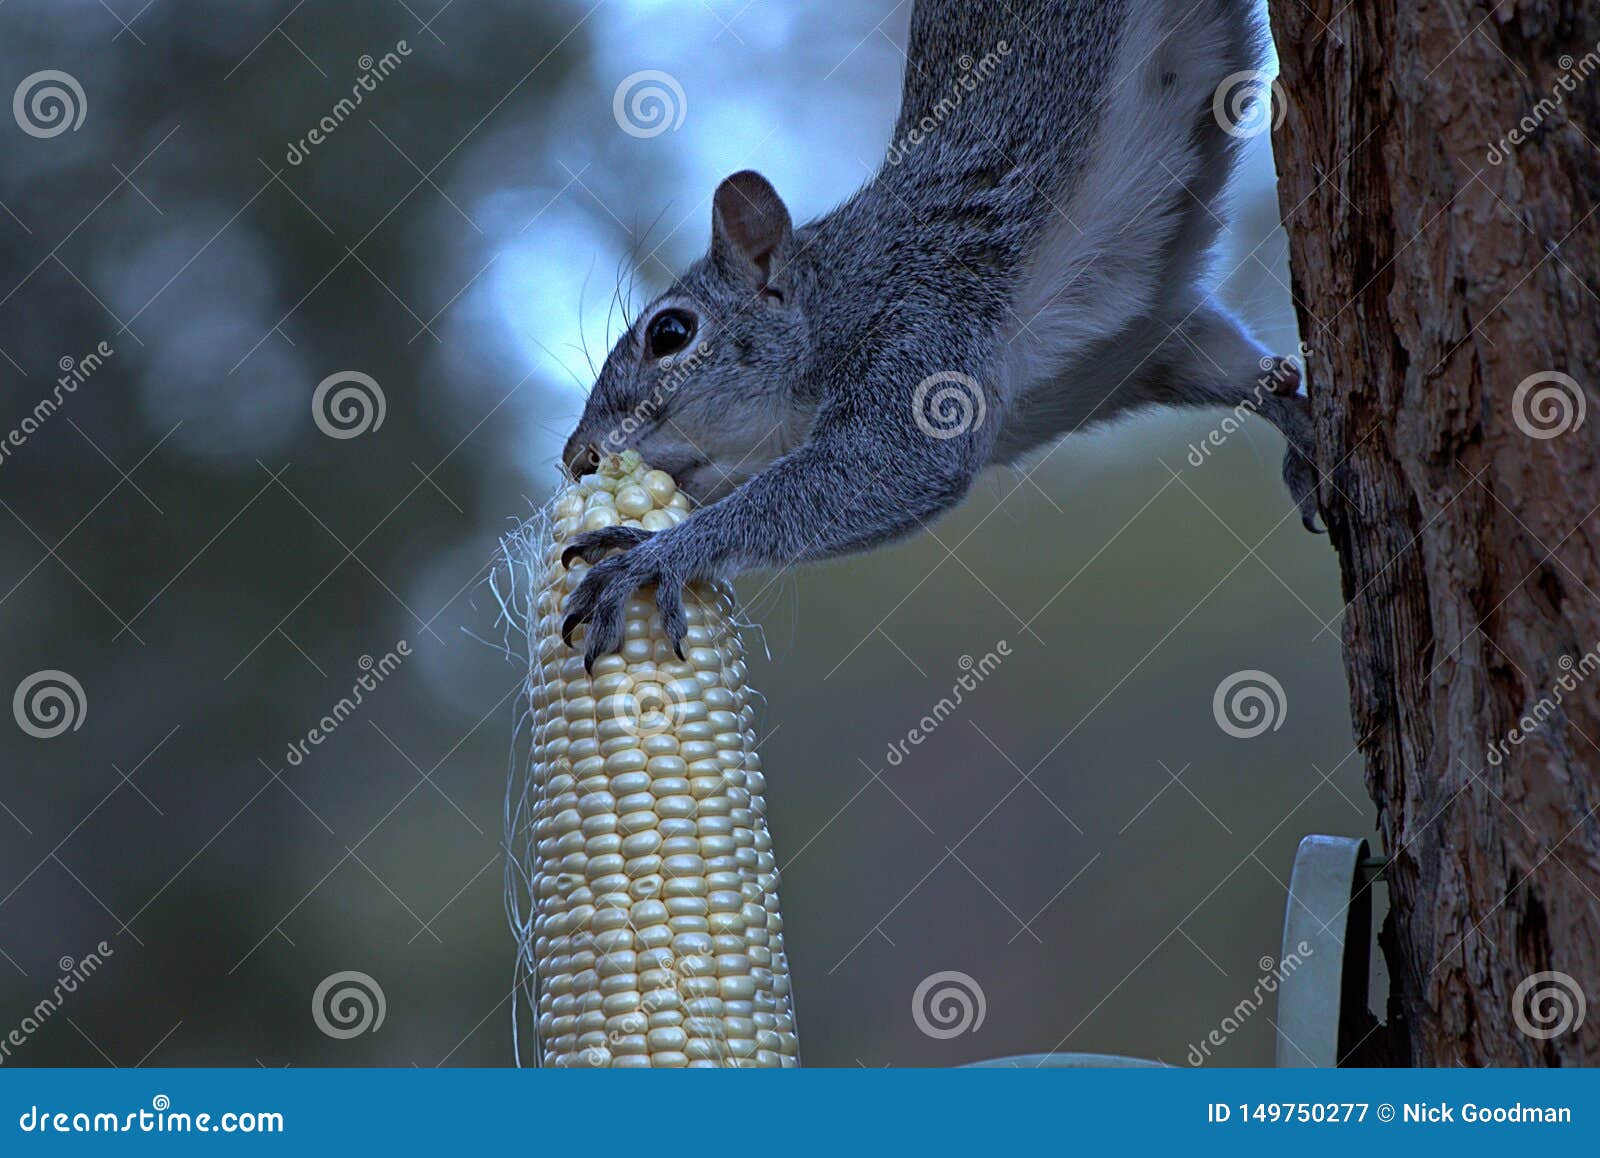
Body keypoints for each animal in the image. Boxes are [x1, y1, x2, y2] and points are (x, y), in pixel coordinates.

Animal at [559, 0, 1317, 668]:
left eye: (670, 333)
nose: (577, 458)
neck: (844, 297)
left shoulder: (926, 329)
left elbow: (899, 462)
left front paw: (653, 557)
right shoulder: (1137, 342)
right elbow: (1237, 373)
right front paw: (1304, 430)